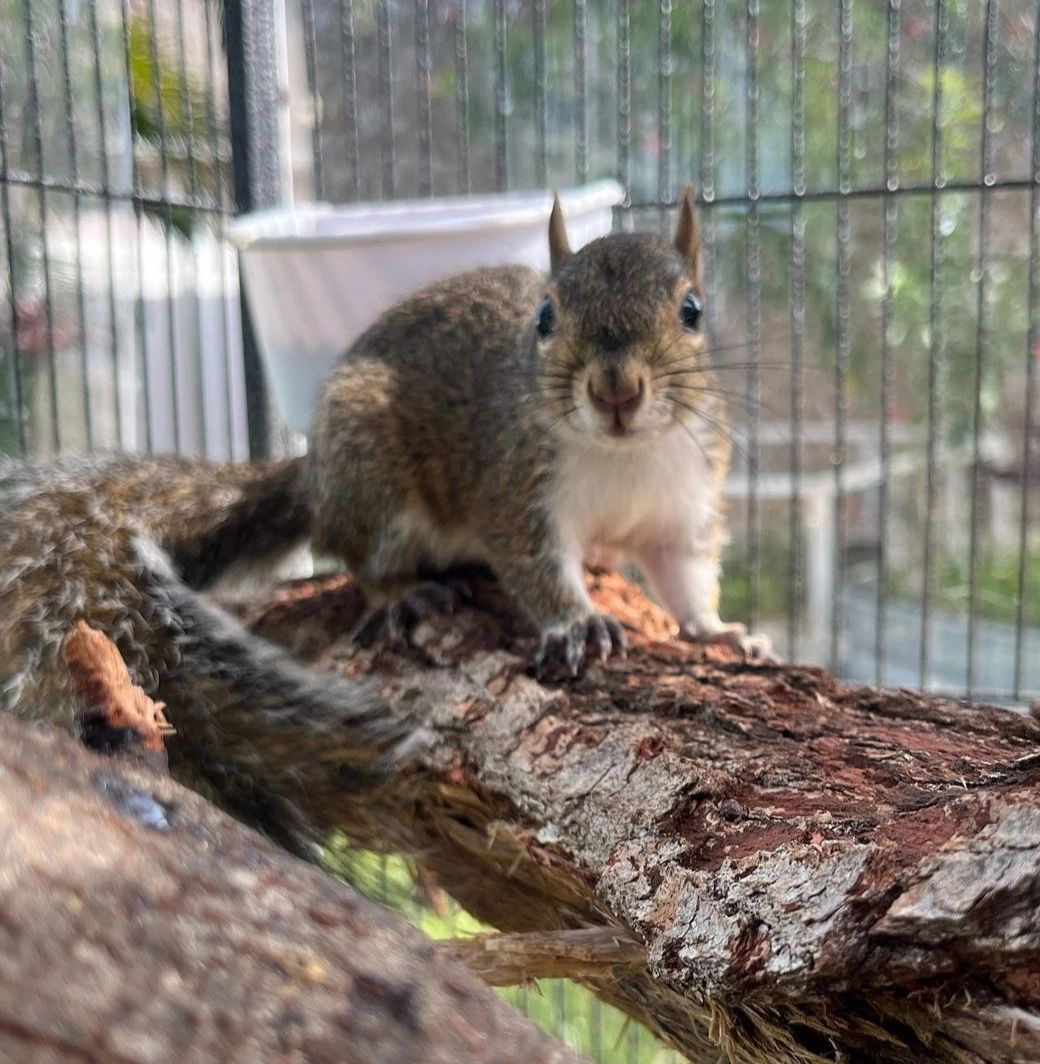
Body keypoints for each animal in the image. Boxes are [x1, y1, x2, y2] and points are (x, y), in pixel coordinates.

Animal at [0, 186, 767, 845]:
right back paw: (408, 593)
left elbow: (685, 576)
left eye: (693, 310)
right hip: (376, 480)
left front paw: (718, 631)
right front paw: (577, 623)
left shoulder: (685, 506)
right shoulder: (515, 490)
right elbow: (535, 566)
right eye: (547, 318)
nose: (616, 391)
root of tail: (315, 475)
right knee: (361, 562)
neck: (622, 455)